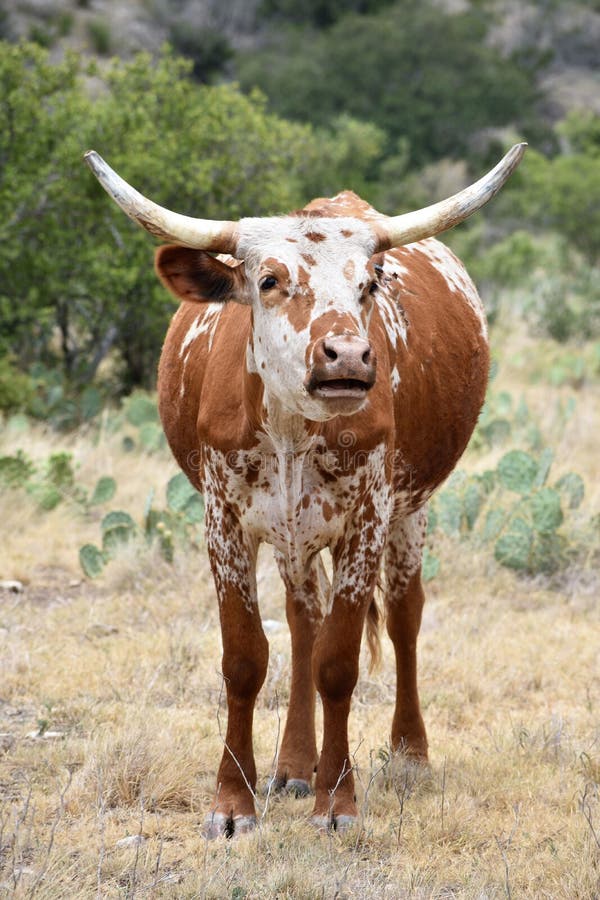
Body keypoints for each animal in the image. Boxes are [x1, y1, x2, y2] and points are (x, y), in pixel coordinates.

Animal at [85, 143, 526, 837]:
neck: (291, 427)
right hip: (292, 533)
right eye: (268, 280)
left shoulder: (366, 519)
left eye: (369, 282)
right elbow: (246, 657)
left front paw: (338, 801)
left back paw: (408, 753)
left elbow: (338, 663)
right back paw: (294, 765)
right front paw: (233, 802)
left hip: (409, 509)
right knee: (301, 618)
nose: (347, 356)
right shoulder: (223, 523)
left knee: (402, 614)